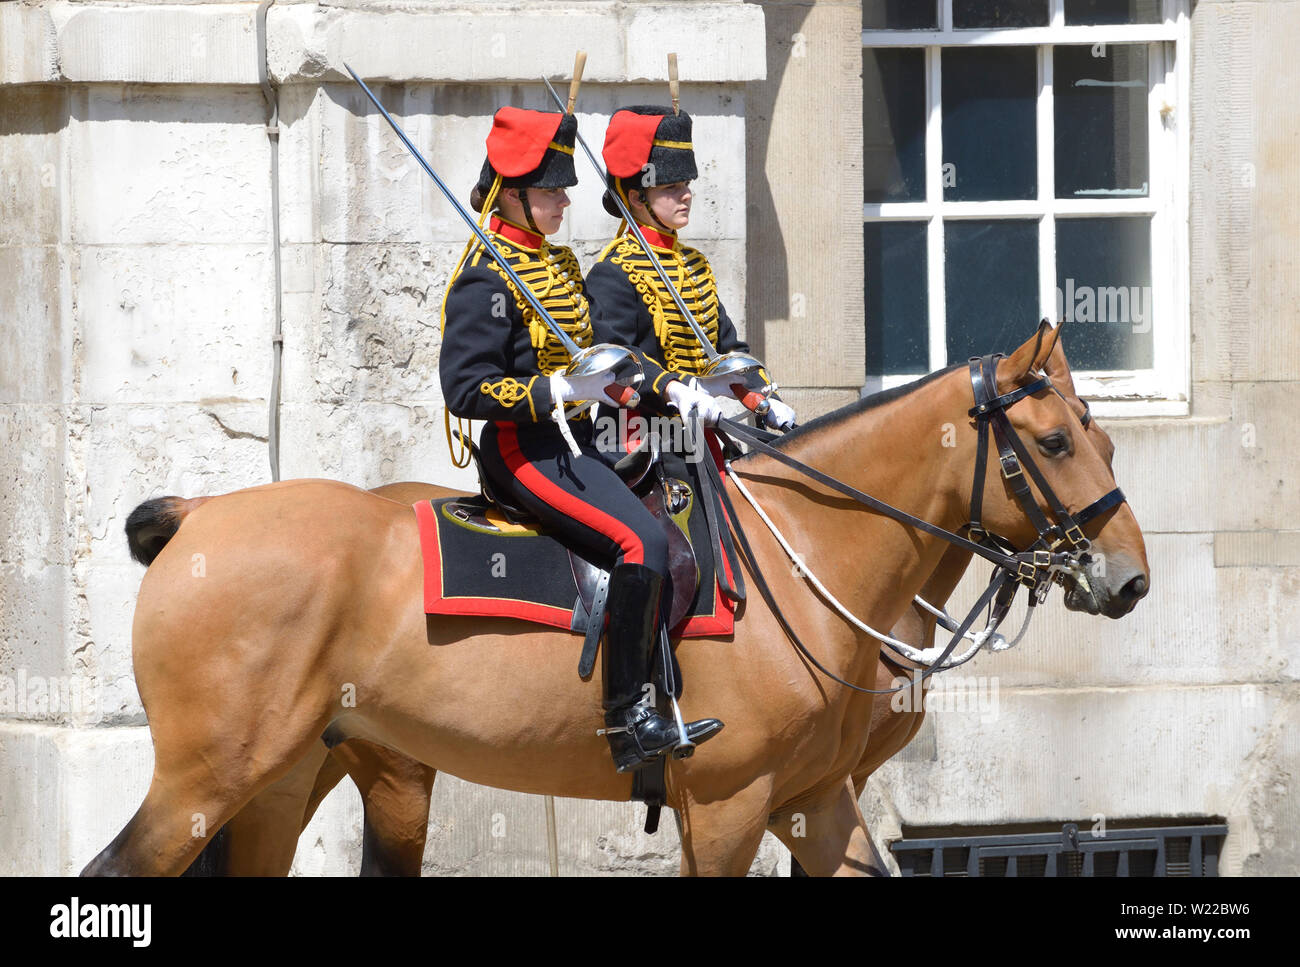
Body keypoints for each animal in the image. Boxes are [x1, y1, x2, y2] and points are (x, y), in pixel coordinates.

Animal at [84, 325, 1148, 876]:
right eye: (1055, 441)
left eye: (1102, 432)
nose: (1130, 577)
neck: (806, 560)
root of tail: (202, 514)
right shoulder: (725, 805)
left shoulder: (813, 800)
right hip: (208, 778)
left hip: (295, 771)